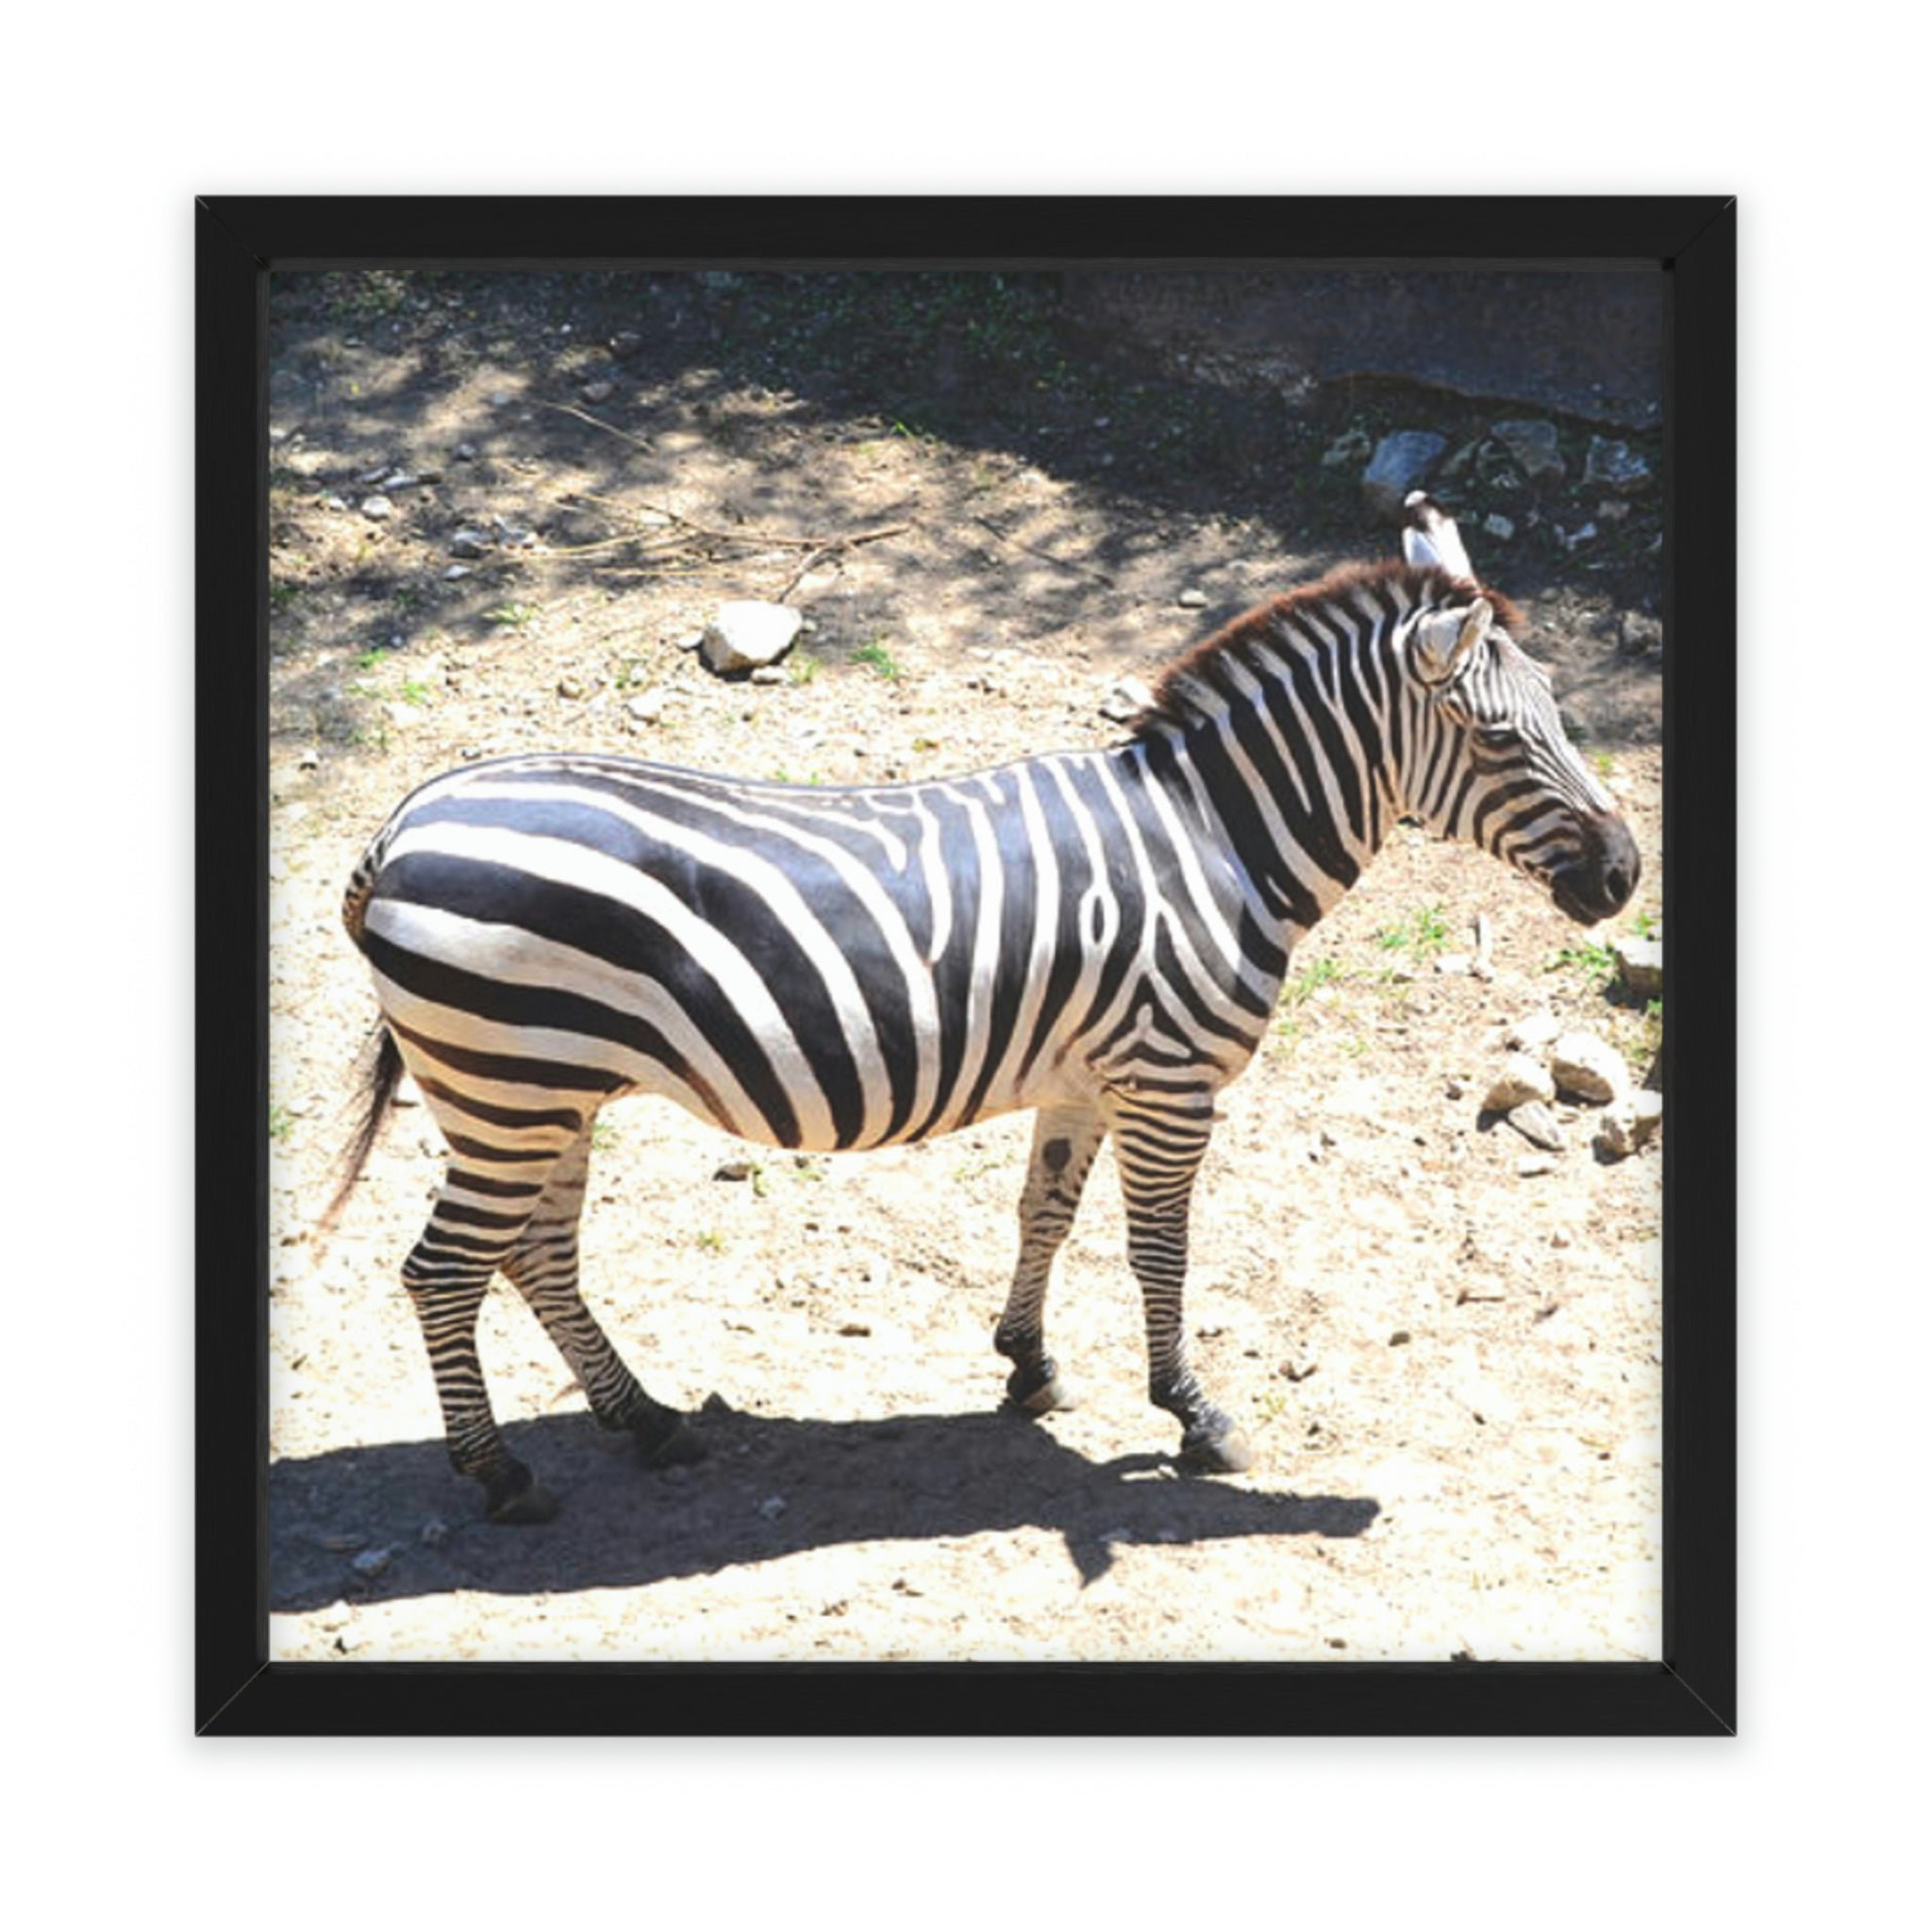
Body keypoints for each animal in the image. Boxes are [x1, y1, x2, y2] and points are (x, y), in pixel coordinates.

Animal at [329, 495, 1639, 1523]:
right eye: (1495, 735)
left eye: (1557, 711)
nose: (1625, 874)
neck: (1214, 837)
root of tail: (403, 822)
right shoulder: (1169, 1079)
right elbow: (1156, 1248)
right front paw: (1190, 1411)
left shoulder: (1088, 1074)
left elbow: (1043, 1213)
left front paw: (1026, 1364)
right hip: (511, 1082)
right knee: (442, 1268)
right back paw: (500, 1474)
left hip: (545, 1086)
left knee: (533, 1252)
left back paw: (646, 1419)